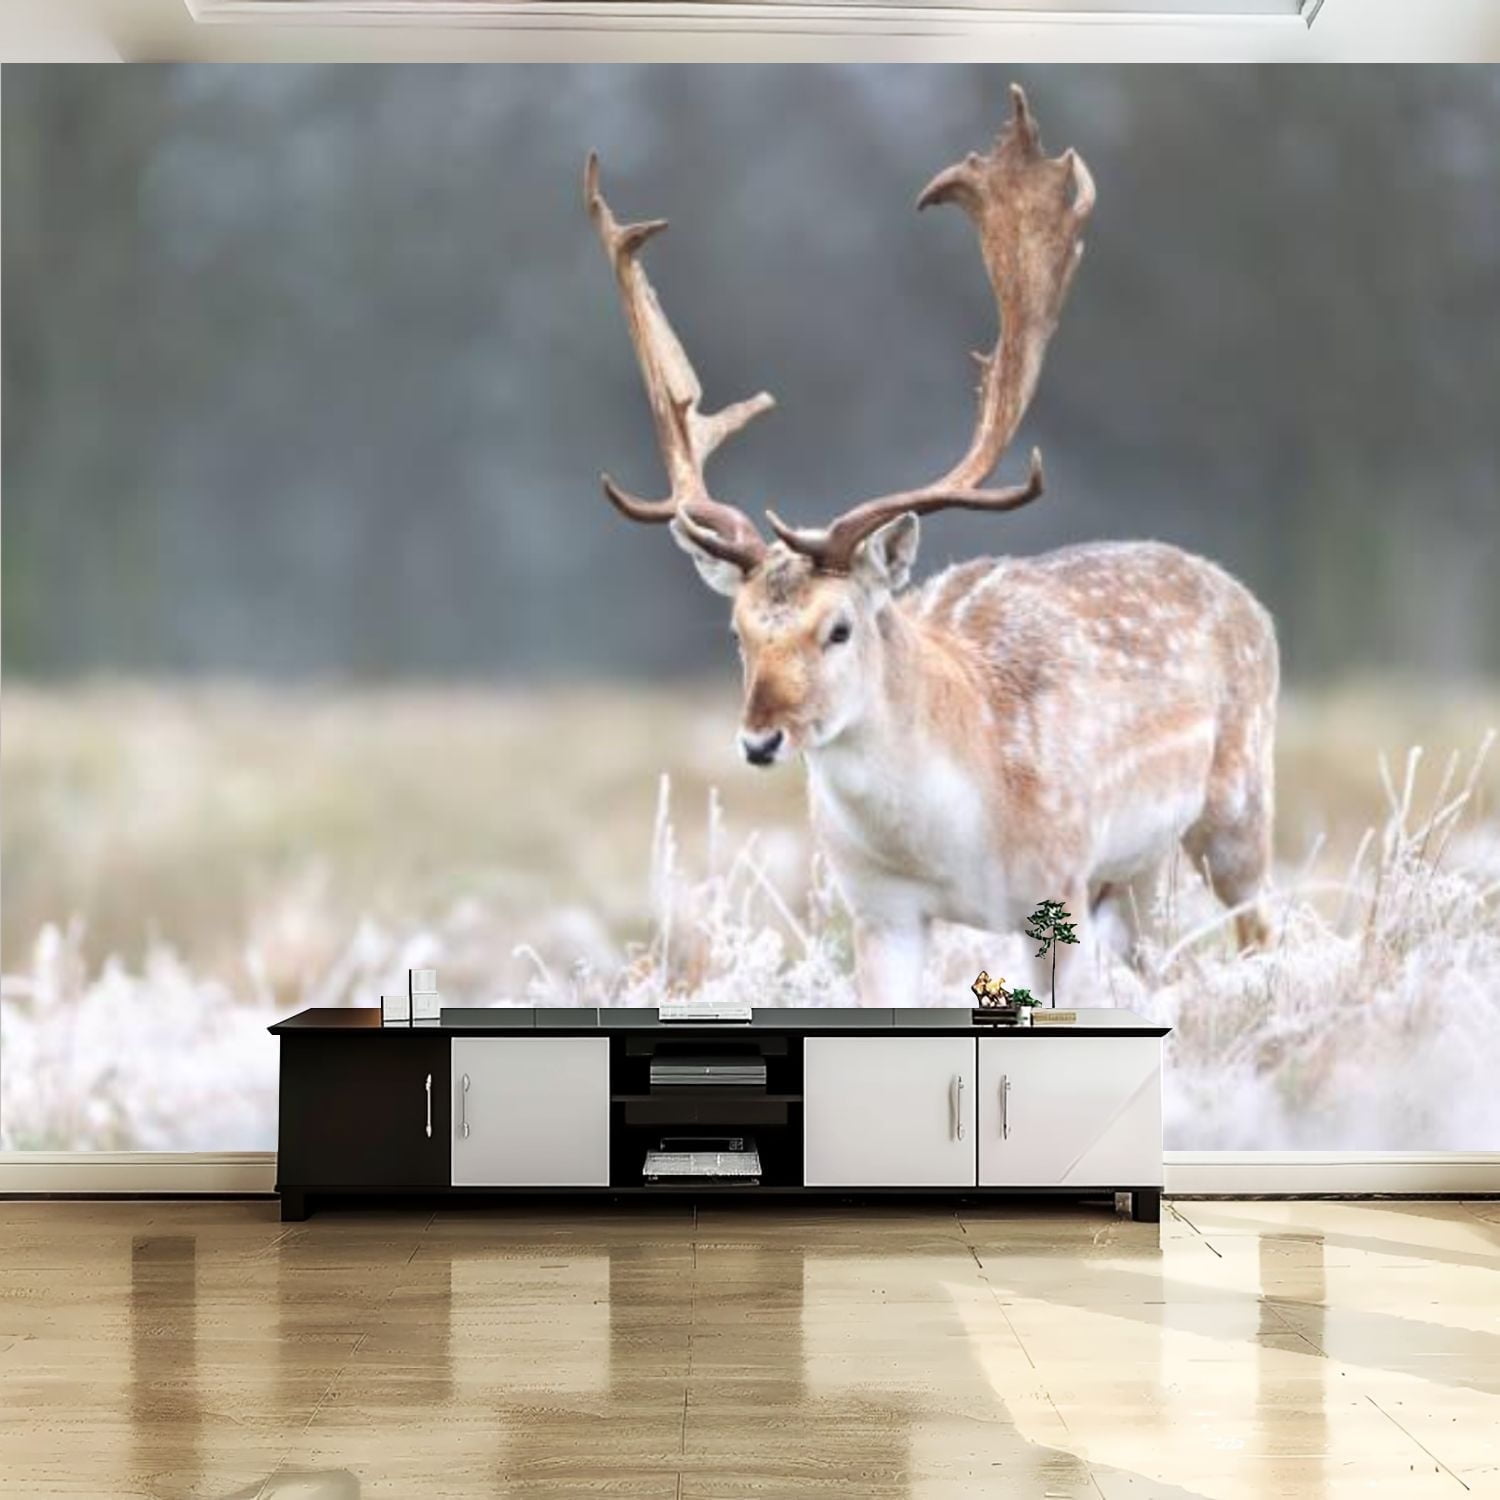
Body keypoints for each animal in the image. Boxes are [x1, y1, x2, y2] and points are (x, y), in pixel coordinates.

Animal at [585, 86, 1279, 1007]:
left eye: (839, 627)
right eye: (737, 633)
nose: (761, 740)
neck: (953, 839)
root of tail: (1245, 596)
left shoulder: (1059, 879)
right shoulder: (878, 908)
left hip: (1236, 806)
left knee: (1262, 931)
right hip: (1135, 874)